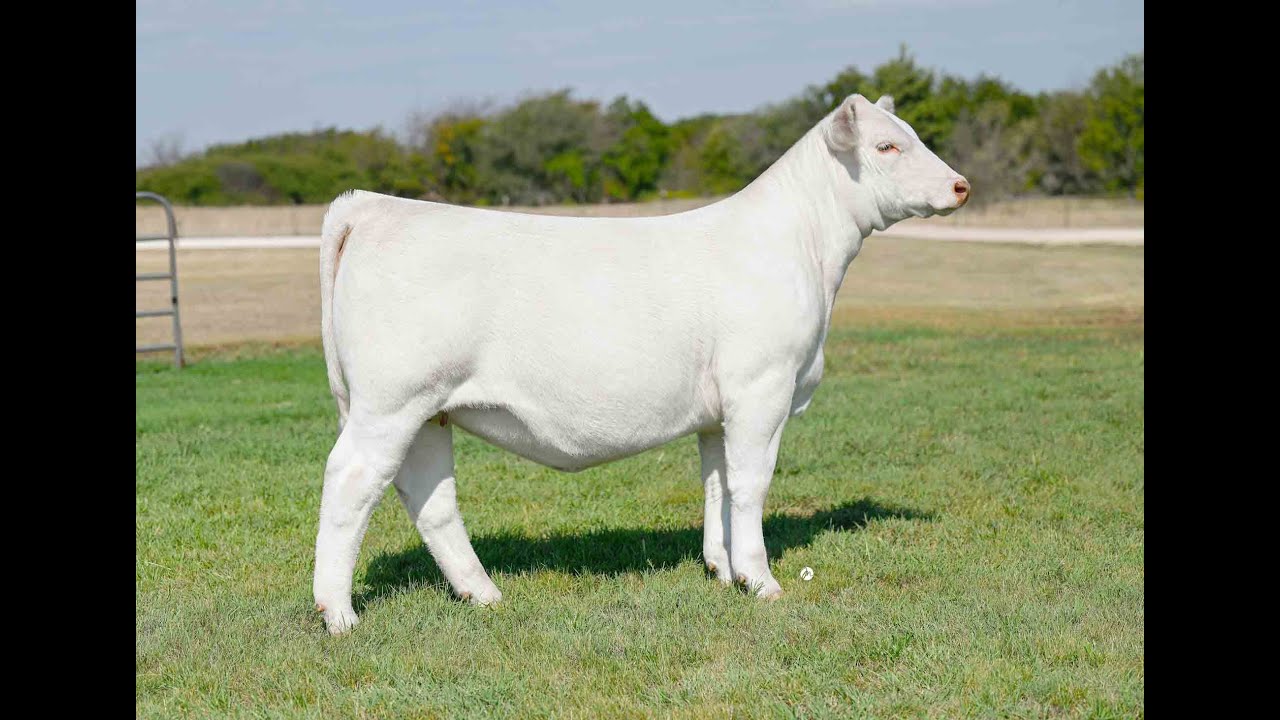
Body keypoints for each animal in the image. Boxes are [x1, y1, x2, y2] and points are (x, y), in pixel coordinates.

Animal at [313, 94, 969, 634]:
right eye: (887, 145)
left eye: (913, 133)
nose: (961, 186)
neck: (804, 249)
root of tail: (370, 206)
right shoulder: (762, 386)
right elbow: (751, 483)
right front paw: (760, 581)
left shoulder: (717, 410)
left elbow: (717, 482)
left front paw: (722, 570)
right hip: (392, 402)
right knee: (350, 480)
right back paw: (338, 615)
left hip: (429, 410)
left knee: (429, 497)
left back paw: (484, 594)